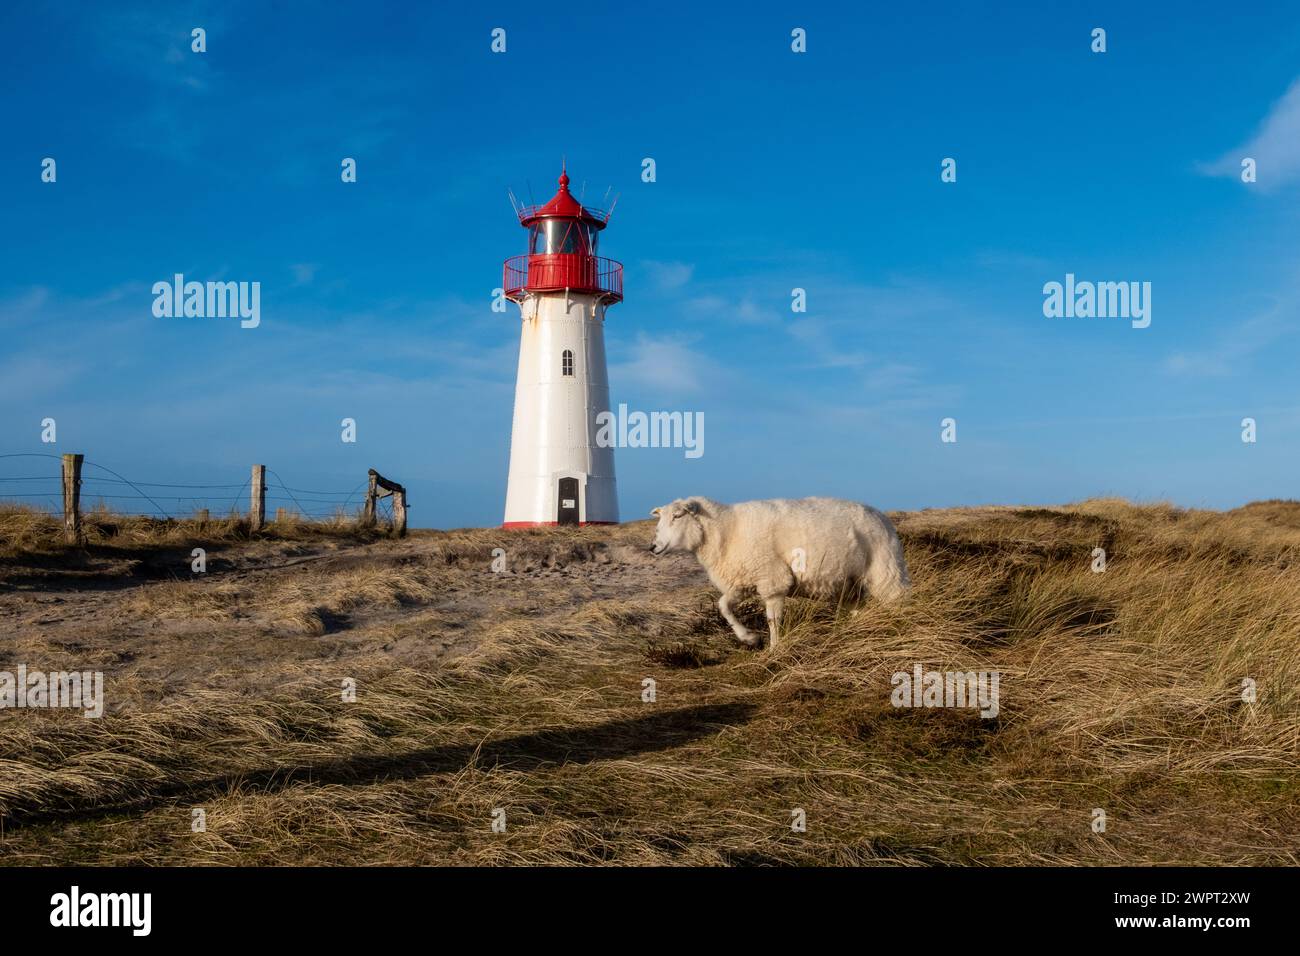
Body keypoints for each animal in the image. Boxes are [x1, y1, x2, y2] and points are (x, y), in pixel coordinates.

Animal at [649, 496, 910, 650]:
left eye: (677, 516)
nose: (653, 546)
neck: (725, 530)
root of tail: (882, 517)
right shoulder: (743, 582)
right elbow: (724, 607)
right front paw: (749, 637)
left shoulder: (773, 580)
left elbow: (773, 620)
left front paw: (774, 649)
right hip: (851, 584)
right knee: (857, 607)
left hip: (885, 570)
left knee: (899, 599)